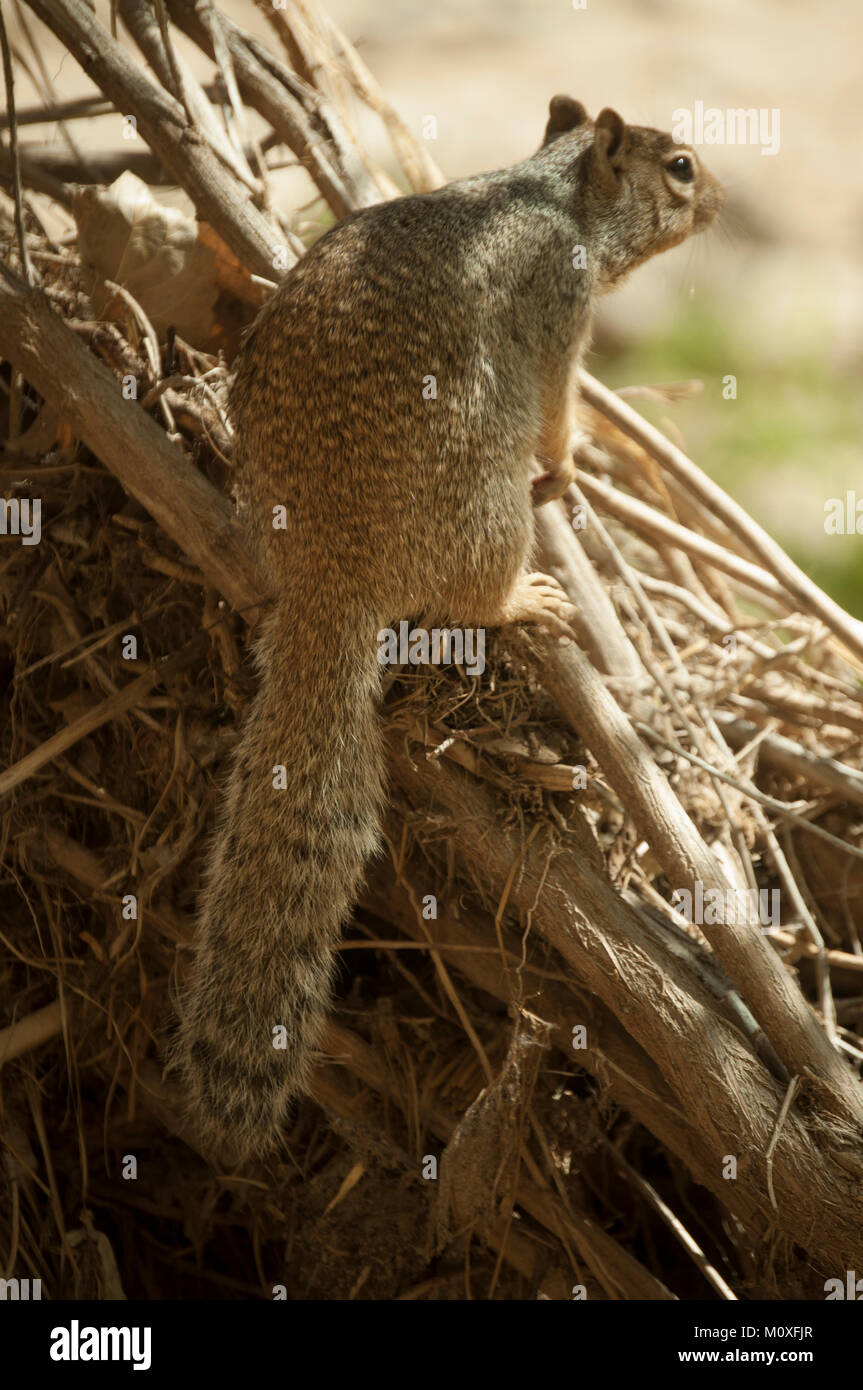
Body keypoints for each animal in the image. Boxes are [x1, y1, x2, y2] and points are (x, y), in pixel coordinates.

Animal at [172, 96, 724, 1163]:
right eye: (679, 167)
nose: (720, 202)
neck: (553, 191)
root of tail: (331, 578)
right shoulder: (563, 315)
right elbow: (560, 404)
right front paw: (573, 463)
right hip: (483, 493)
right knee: (468, 590)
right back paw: (523, 600)